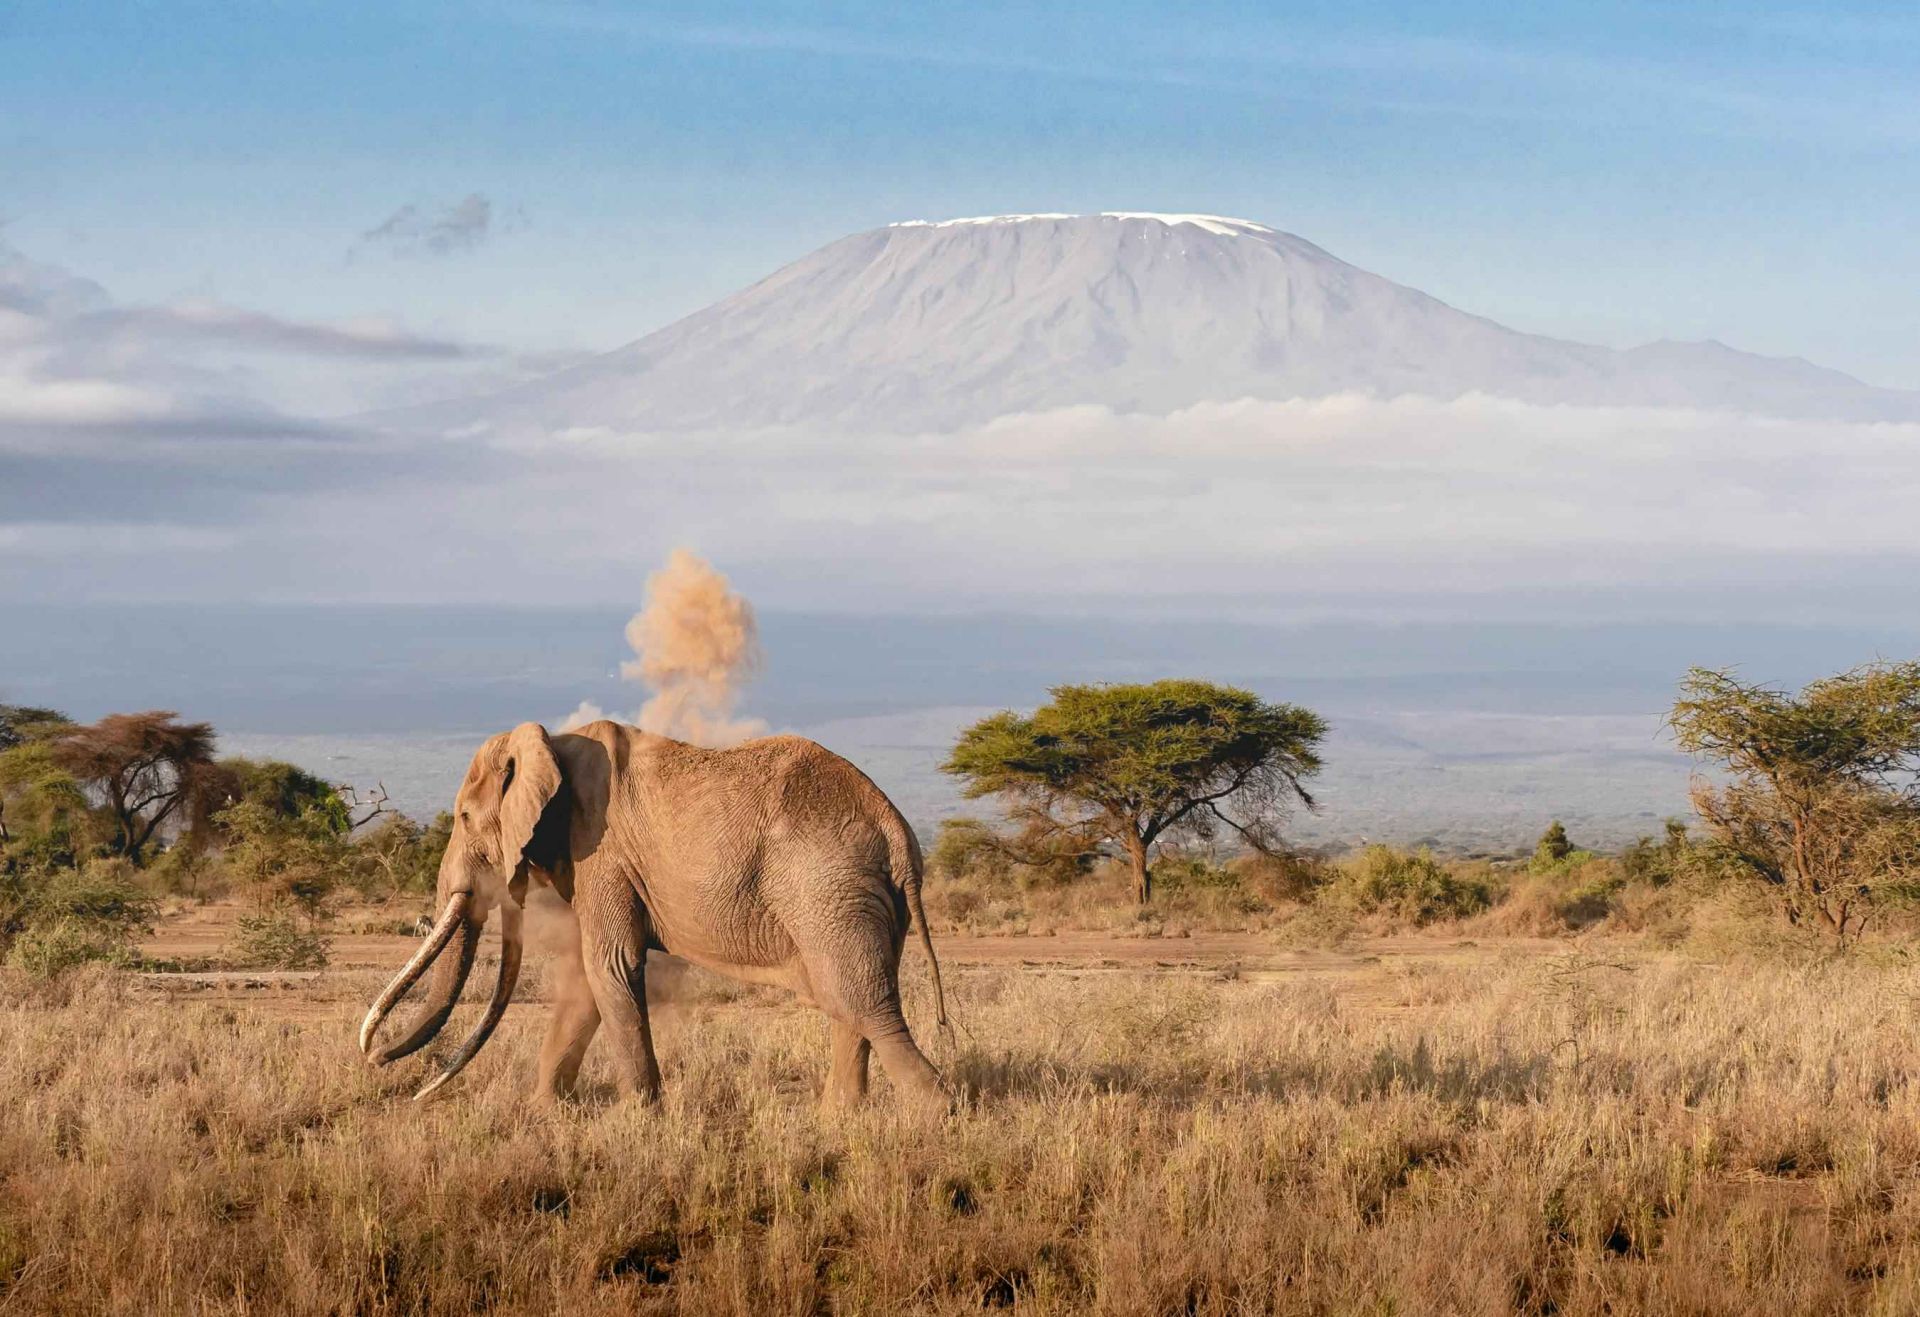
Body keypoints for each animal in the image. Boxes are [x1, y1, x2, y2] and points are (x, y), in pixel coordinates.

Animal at [355, 721, 952, 1113]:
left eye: (462, 816)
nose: (378, 1059)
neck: (552, 742)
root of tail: (896, 830)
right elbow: (587, 979)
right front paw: (545, 1113)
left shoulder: (602, 853)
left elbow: (610, 966)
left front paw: (640, 1119)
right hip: (857, 898)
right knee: (848, 1000)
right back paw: (839, 1121)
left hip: (828, 888)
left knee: (864, 1004)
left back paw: (935, 1116)